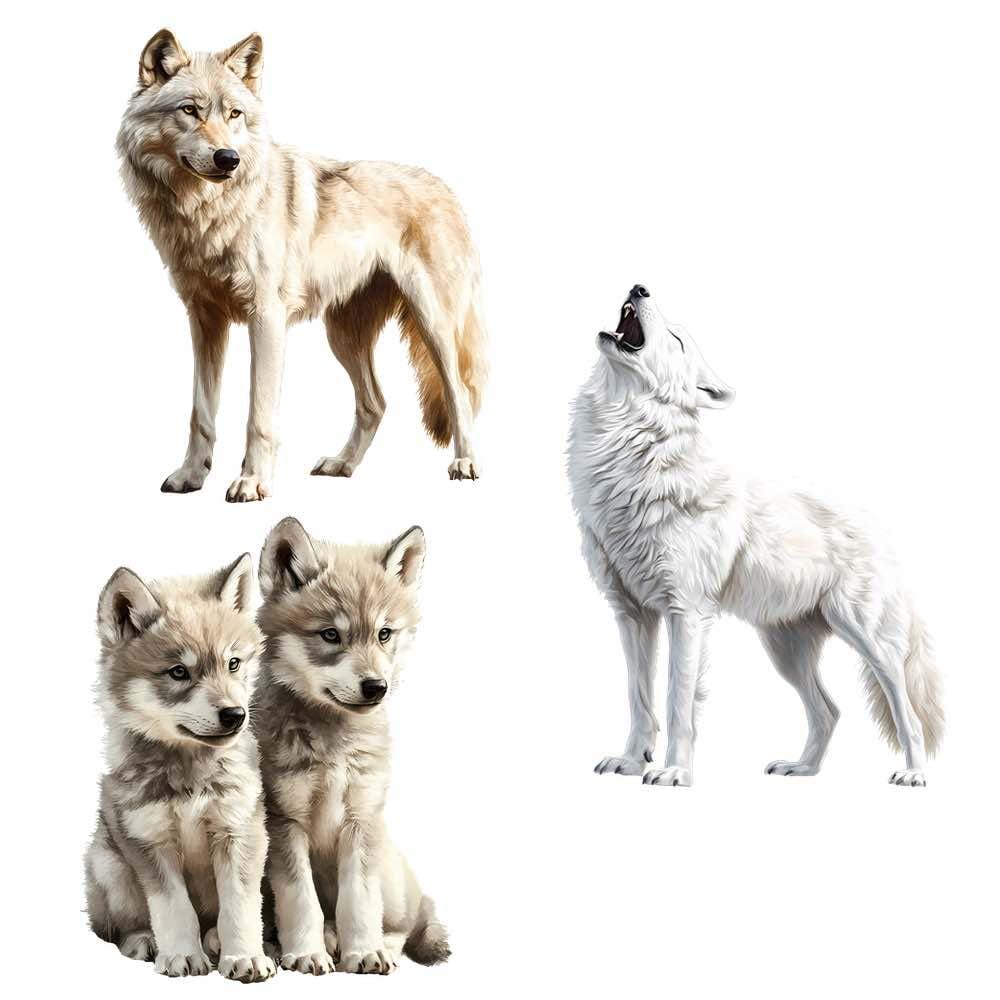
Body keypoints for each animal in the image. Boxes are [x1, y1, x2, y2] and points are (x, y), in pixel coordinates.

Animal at [85, 555, 276, 982]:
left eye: (233, 663)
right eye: (178, 672)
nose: (235, 715)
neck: (191, 776)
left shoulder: (239, 832)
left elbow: (239, 906)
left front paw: (244, 957)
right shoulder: (149, 842)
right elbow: (174, 909)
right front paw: (183, 956)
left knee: (217, 921)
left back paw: (219, 942)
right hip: (111, 867)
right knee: (121, 927)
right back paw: (145, 941)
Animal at [117, 29, 488, 501]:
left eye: (234, 114)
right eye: (190, 110)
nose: (228, 159)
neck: (210, 211)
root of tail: (445, 188)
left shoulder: (266, 318)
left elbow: (258, 415)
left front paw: (252, 482)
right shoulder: (204, 319)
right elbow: (200, 413)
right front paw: (190, 476)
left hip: (432, 323)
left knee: (460, 392)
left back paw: (466, 463)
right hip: (342, 336)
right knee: (376, 402)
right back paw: (342, 465)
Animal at [253, 517, 449, 974]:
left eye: (384, 634)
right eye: (330, 635)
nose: (376, 687)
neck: (333, 748)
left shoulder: (361, 819)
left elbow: (358, 902)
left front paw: (364, 951)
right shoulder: (284, 824)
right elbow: (301, 901)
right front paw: (307, 952)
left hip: (390, 873)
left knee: (403, 925)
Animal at [568, 284, 944, 787]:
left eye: (677, 339)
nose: (639, 287)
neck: (631, 452)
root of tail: (880, 529)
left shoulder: (686, 612)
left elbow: (677, 700)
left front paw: (674, 771)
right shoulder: (631, 614)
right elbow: (638, 698)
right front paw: (630, 761)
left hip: (868, 640)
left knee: (907, 712)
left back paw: (914, 774)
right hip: (784, 650)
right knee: (829, 711)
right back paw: (801, 768)